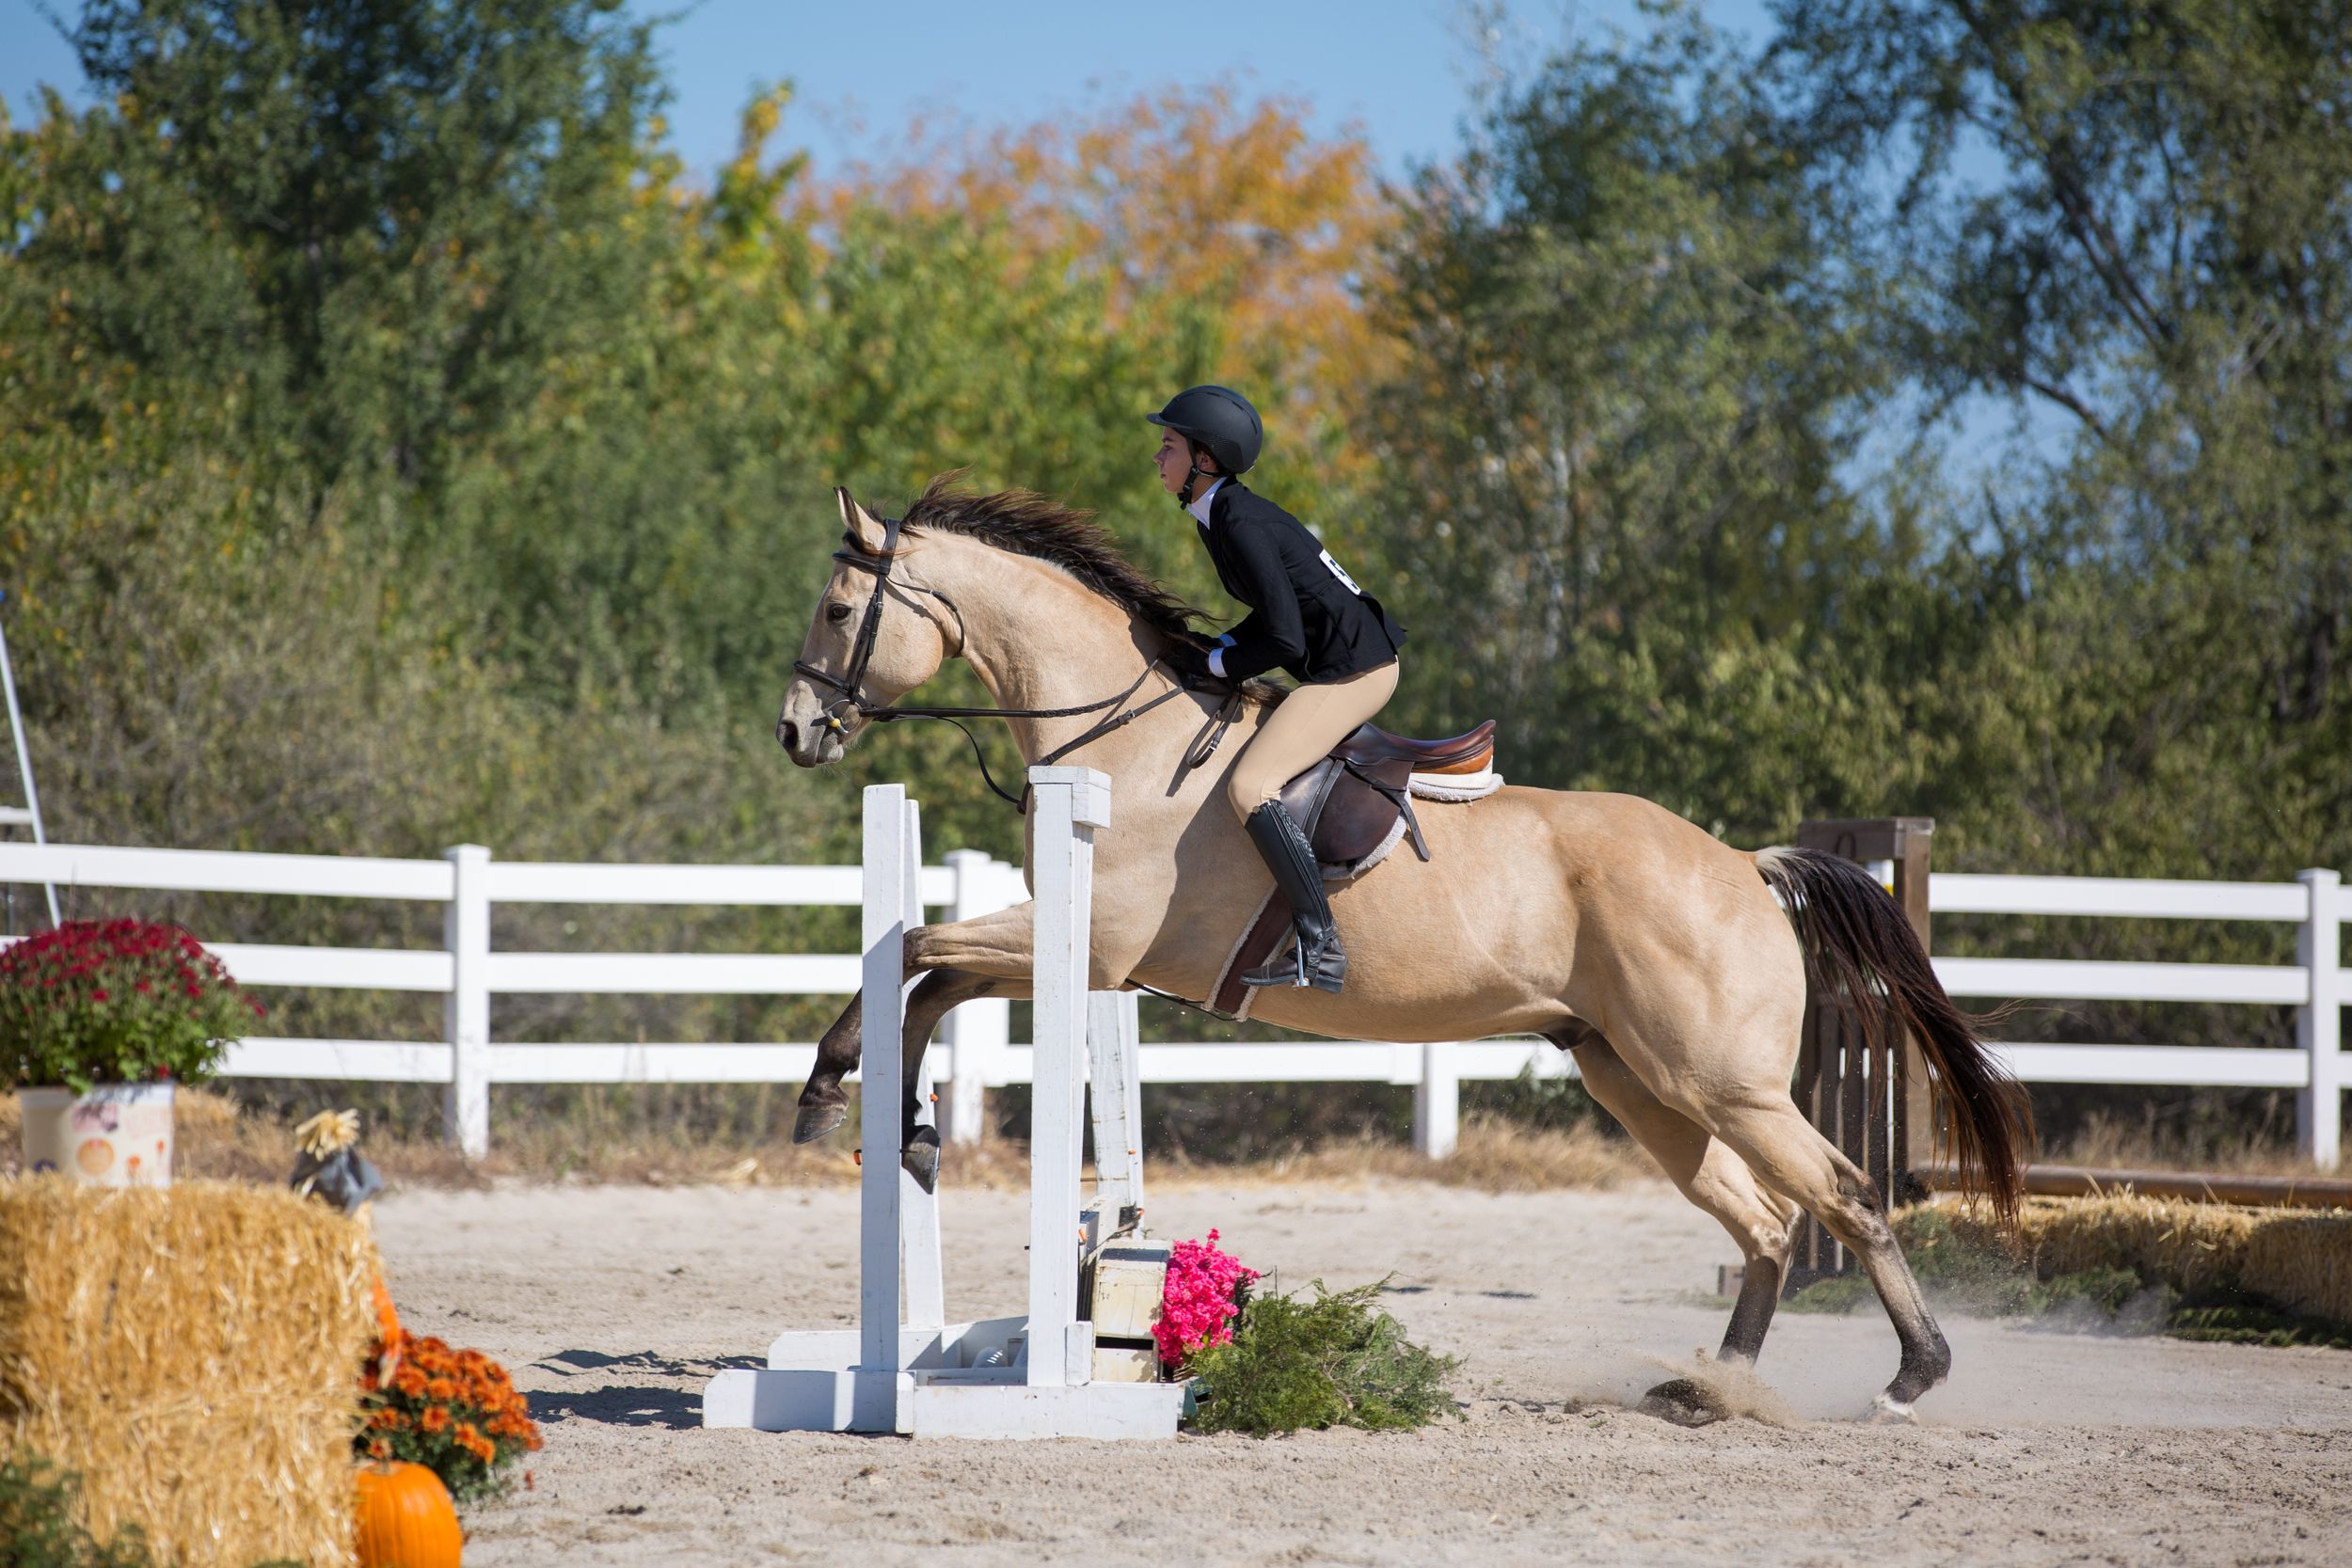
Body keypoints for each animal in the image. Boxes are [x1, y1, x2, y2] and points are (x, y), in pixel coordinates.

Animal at [773, 477, 2030, 1421]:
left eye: (835, 610)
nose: (797, 731)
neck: (1117, 738)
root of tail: (1742, 864)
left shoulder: (1093, 950)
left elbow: (913, 943)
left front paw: (831, 1086)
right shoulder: (1080, 955)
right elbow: (931, 971)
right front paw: (900, 1123)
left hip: (1720, 1080)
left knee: (1844, 1196)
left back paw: (1911, 1376)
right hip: (1639, 1079)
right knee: (1765, 1221)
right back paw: (1711, 1388)